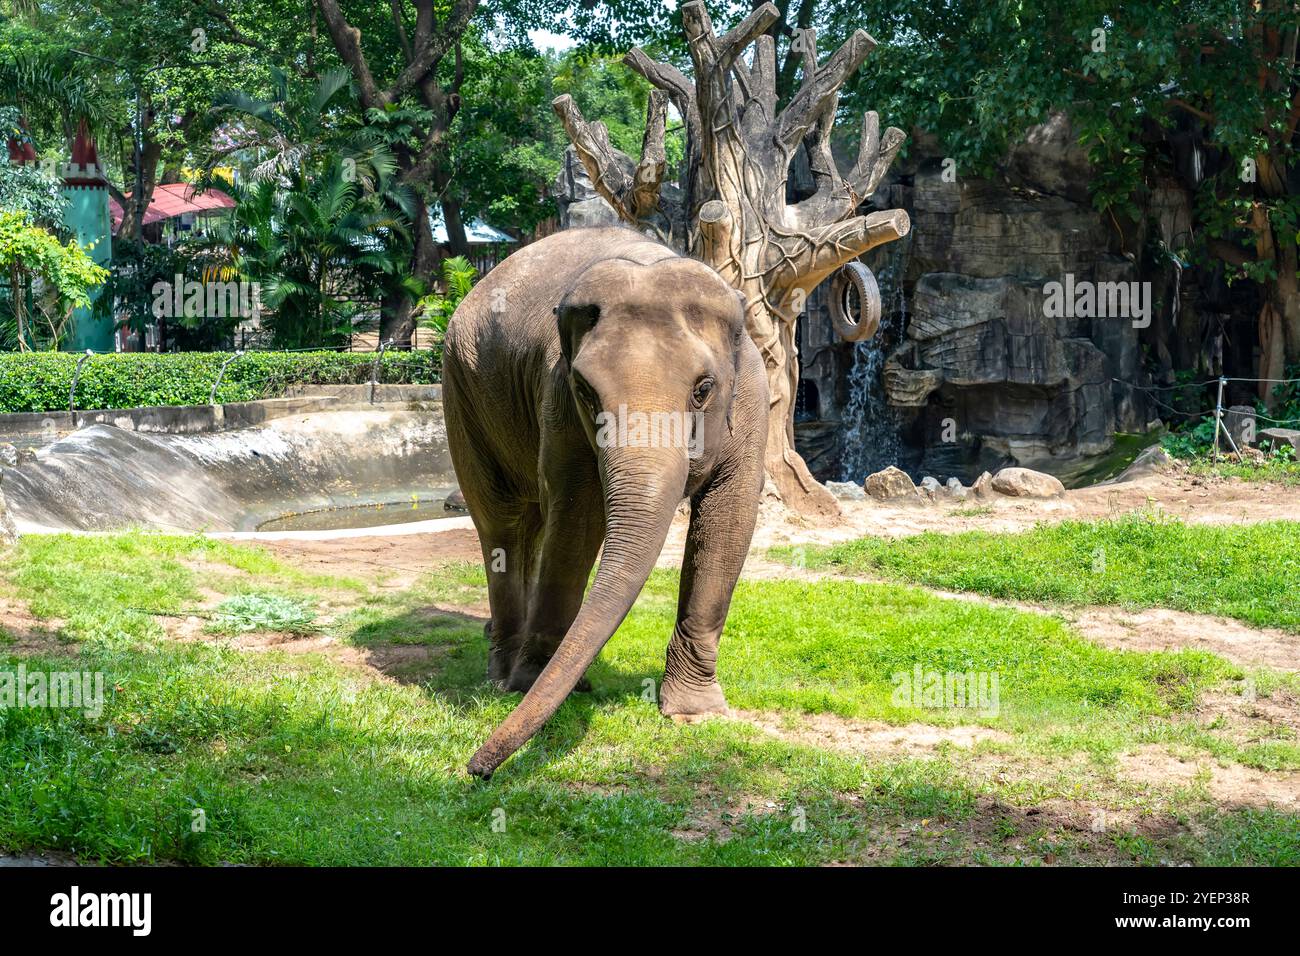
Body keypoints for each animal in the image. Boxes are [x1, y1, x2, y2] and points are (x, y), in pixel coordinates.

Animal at [441, 226, 768, 778]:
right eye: (586, 391)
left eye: (703, 389)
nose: (475, 768)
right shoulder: (557, 397)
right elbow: (577, 511)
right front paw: (532, 685)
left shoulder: (754, 401)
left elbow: (730, 518)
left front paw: (696, 714)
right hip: (460, 385)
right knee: (502, 523)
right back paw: (502, 671)